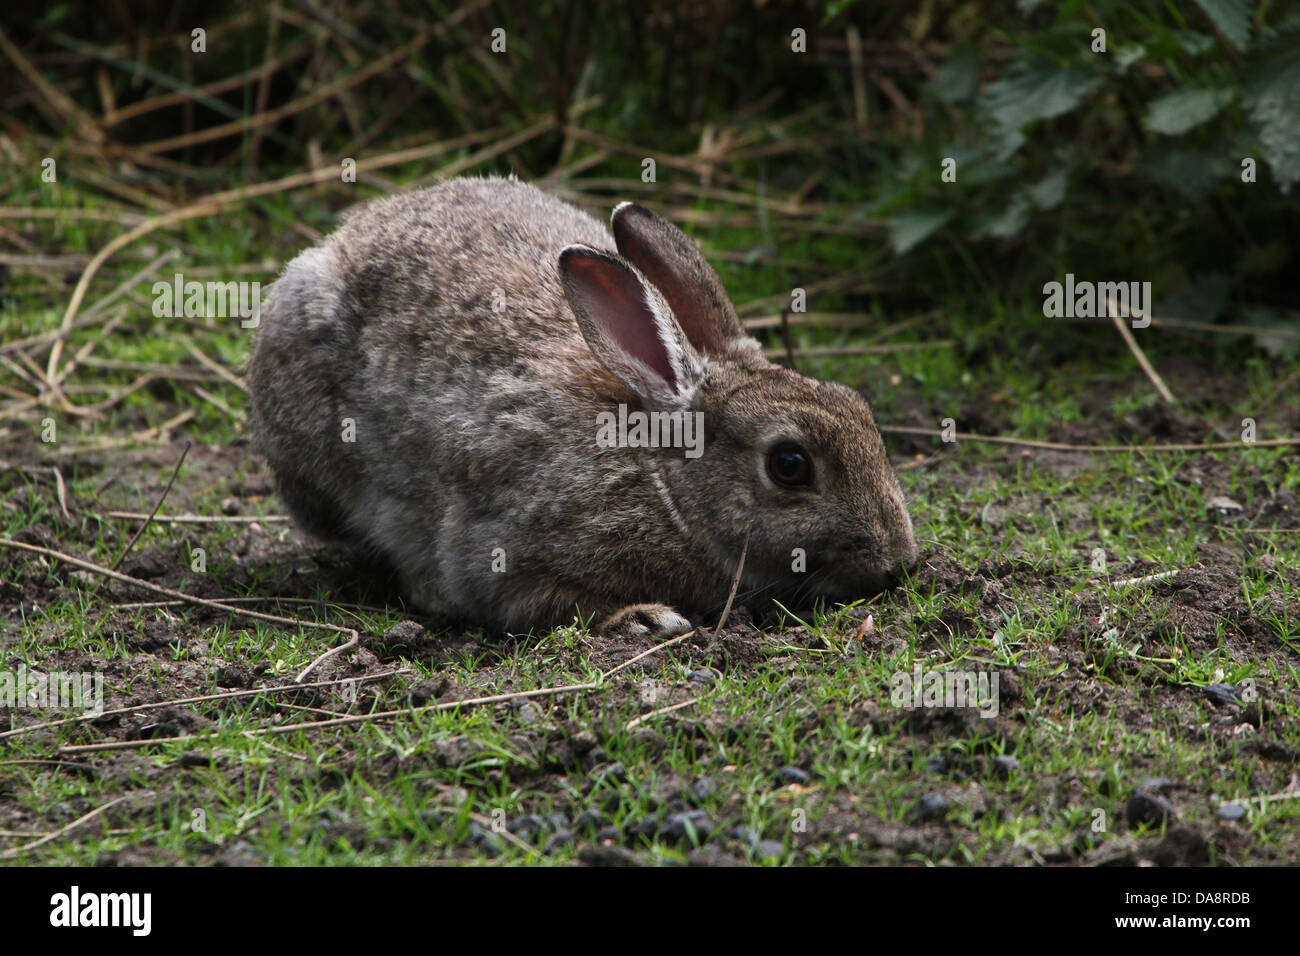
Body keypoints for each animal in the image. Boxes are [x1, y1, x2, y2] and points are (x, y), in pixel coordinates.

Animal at [247, 175, 918, 640]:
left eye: (858, 407)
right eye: (789, 464)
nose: (898, 564)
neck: (667, 485)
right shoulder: (510, 554)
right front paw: (646, 618)